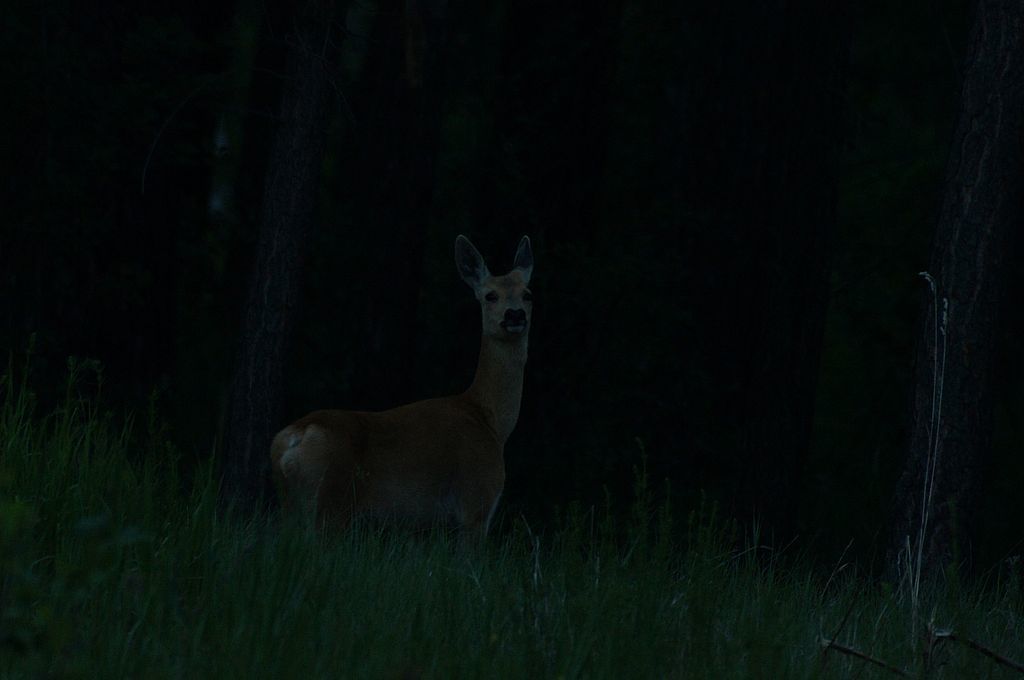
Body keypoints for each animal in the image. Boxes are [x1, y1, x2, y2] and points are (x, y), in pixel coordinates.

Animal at [270, 235, 534, 540]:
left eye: (527, 294)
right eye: (490, 295)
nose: (514, 314)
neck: (490, 420)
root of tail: (294, 438)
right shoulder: (477, 500)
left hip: (290, 504)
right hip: (331, 500)